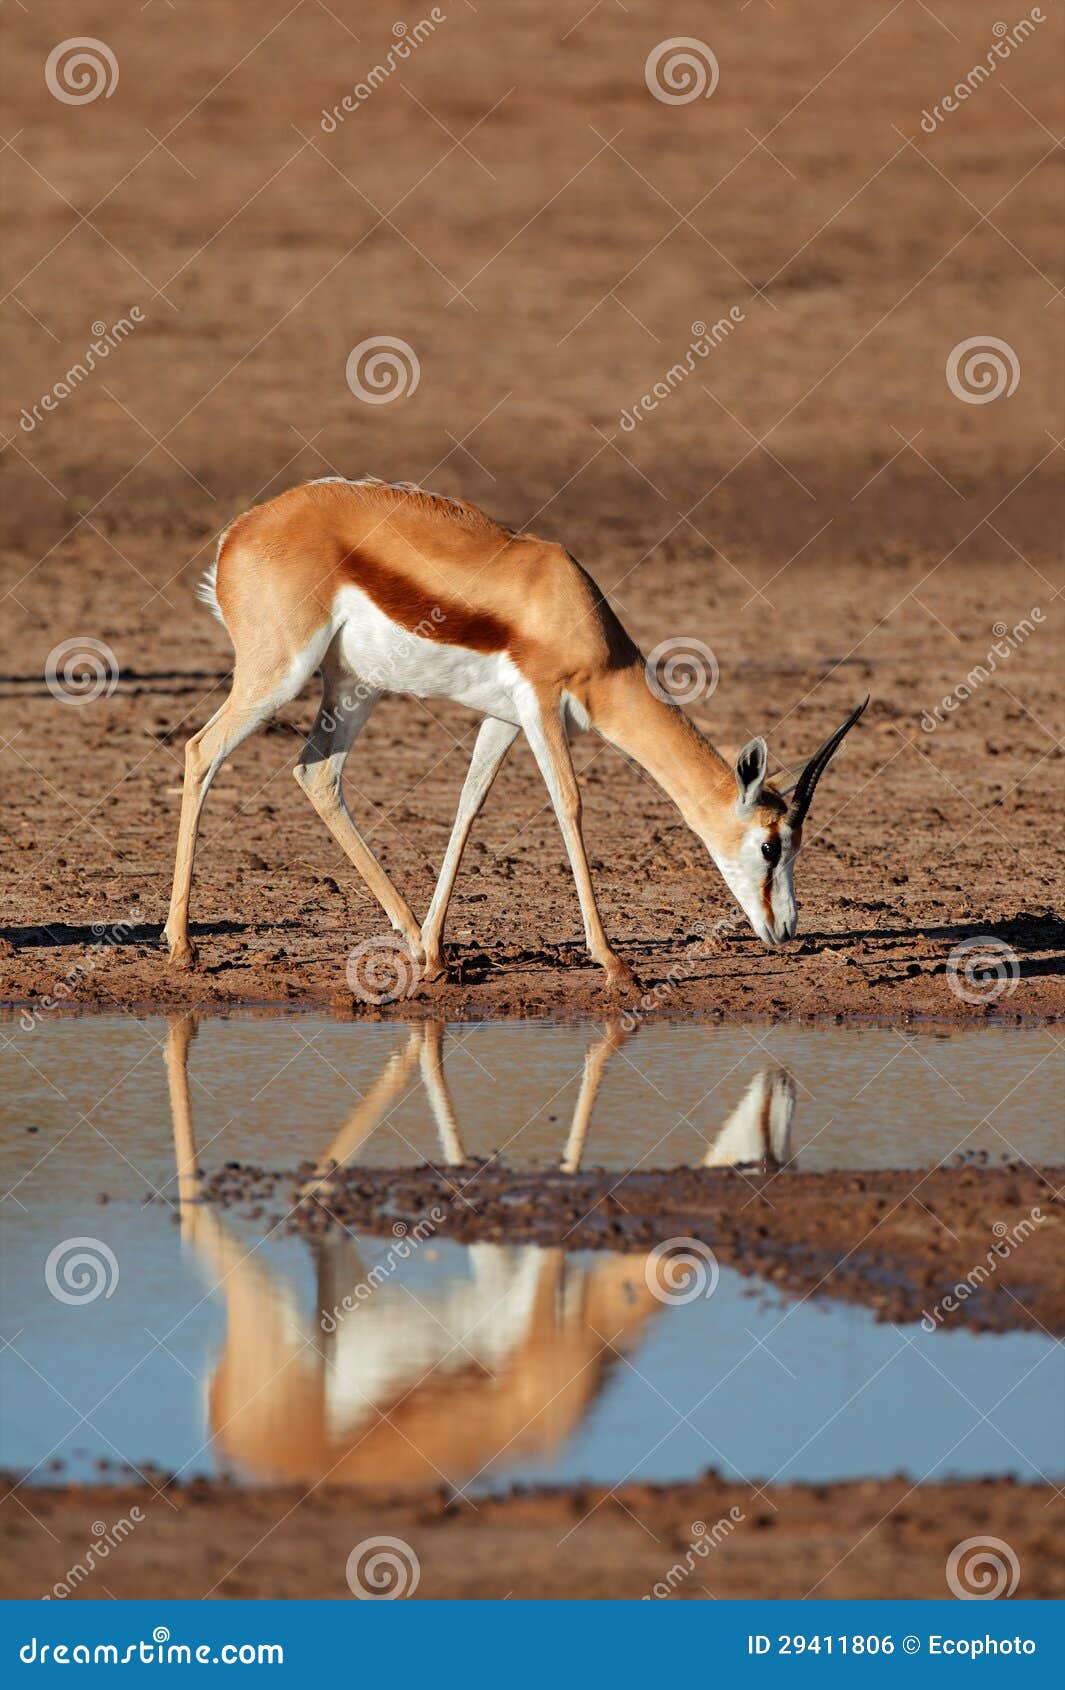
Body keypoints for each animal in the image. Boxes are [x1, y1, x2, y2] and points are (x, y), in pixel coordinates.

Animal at [164, 477, 867, 985]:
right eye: (771, 846)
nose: (786, 930)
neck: (568, 613)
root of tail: (238, 534)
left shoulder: (502, 718)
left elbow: (469, 803)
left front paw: (437, 953)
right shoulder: (540, 706)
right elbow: (569, 805)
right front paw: (615, 965)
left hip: (353, 684)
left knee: (315, 771)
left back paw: (411, 941)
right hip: (280, 674)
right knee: (202, 749)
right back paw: (182, 949)